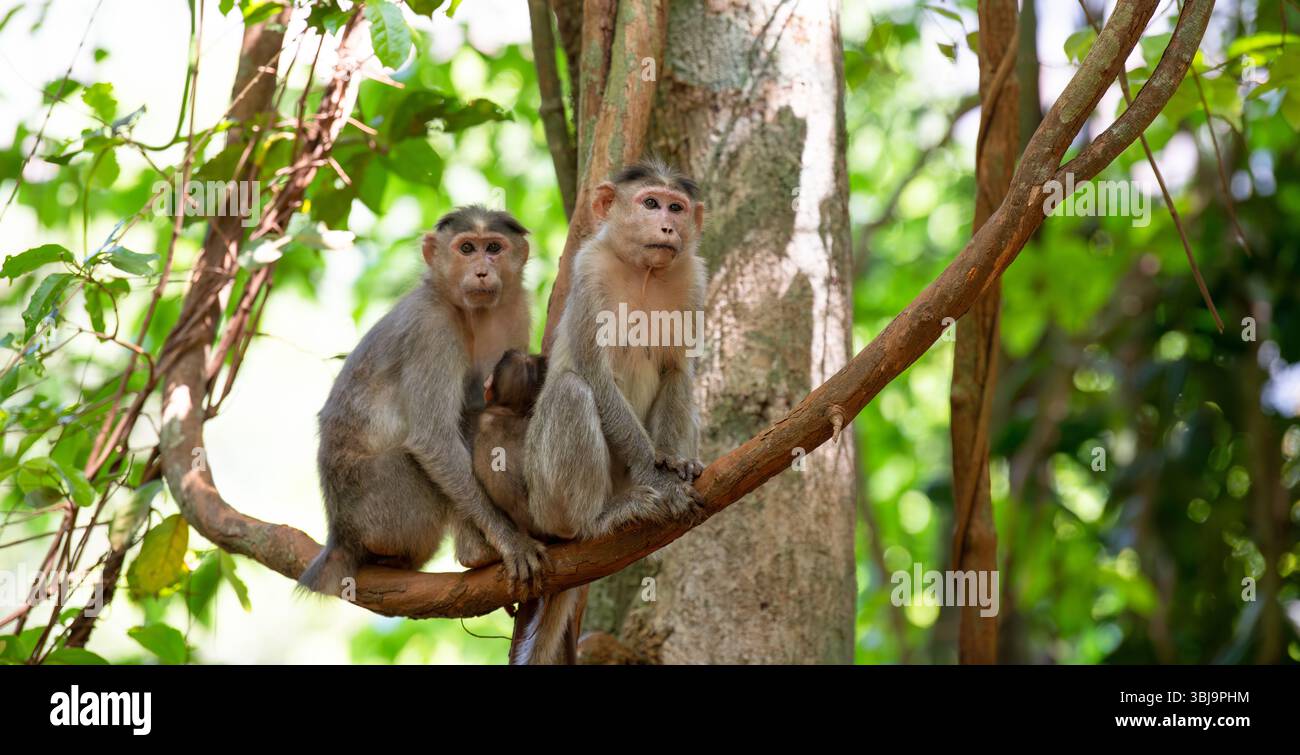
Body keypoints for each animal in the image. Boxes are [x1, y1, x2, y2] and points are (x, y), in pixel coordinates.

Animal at [299, 206, 549, 599]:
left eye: (493, 247)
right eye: (467, 249)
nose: (482, 270)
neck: (464, 310)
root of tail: (339, 533)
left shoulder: (514, 310)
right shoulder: (431, 330)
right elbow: (433, 439)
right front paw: (510, 540)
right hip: (382, 511)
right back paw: (476, 552)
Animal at [514, 159, 708, 664]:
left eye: (677, 207)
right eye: (651, 202)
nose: (667, 227)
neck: (643, 273)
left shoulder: (691, 280)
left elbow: (676, 369)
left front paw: (674, 463)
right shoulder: (589, 269)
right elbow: (594, 374)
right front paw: (661, 479)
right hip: (543, 495)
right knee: (571, 391)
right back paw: (596, 522)